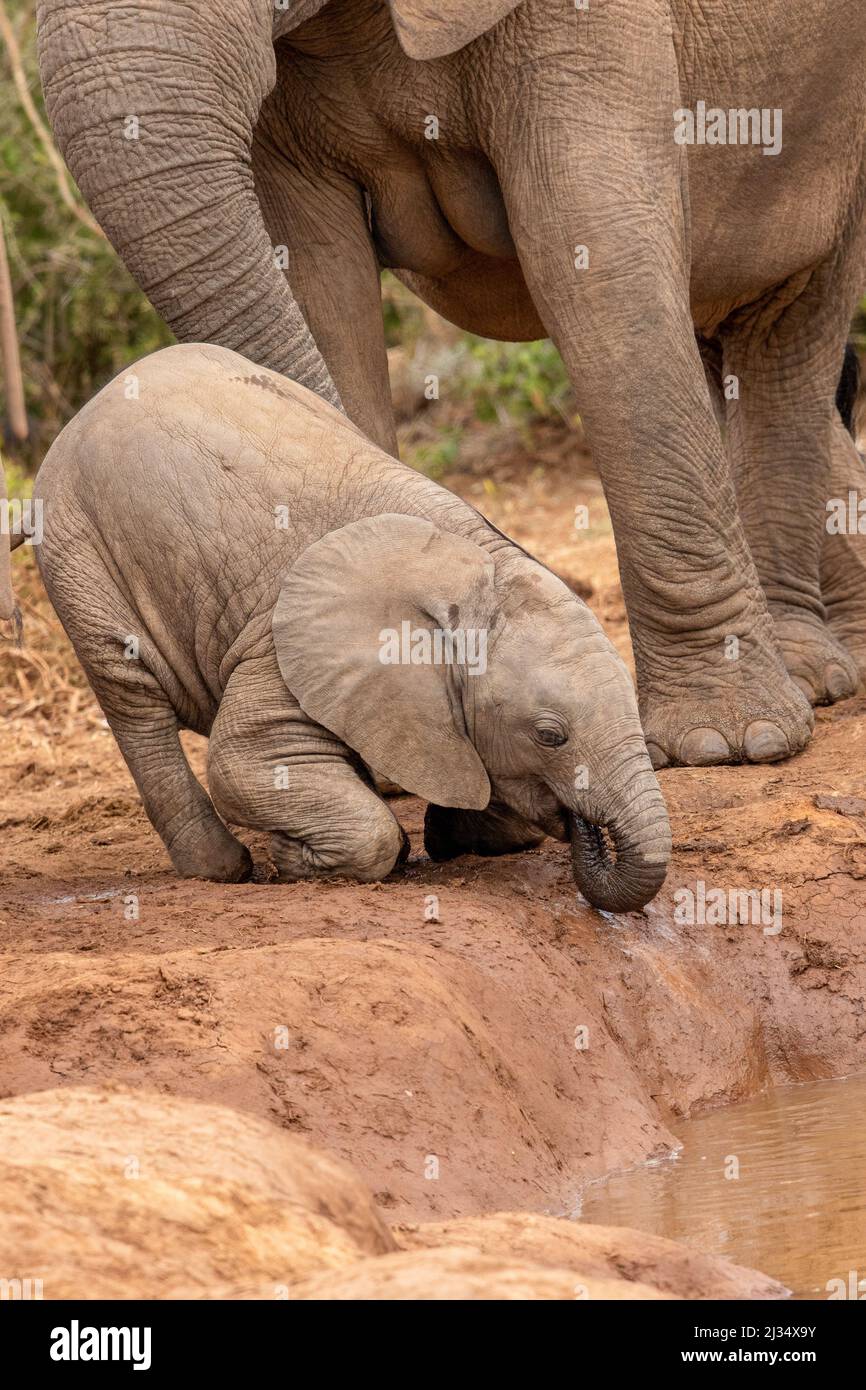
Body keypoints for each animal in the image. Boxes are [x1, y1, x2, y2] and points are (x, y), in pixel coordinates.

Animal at [32, 343, 671, 913]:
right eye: (549, 735)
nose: (590, 833)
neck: (476, 574)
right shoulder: (281, 648)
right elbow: (245, 762)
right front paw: (296, 860)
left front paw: (456, 834)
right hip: (75, 544)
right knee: (130, 692)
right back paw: (223, 868)